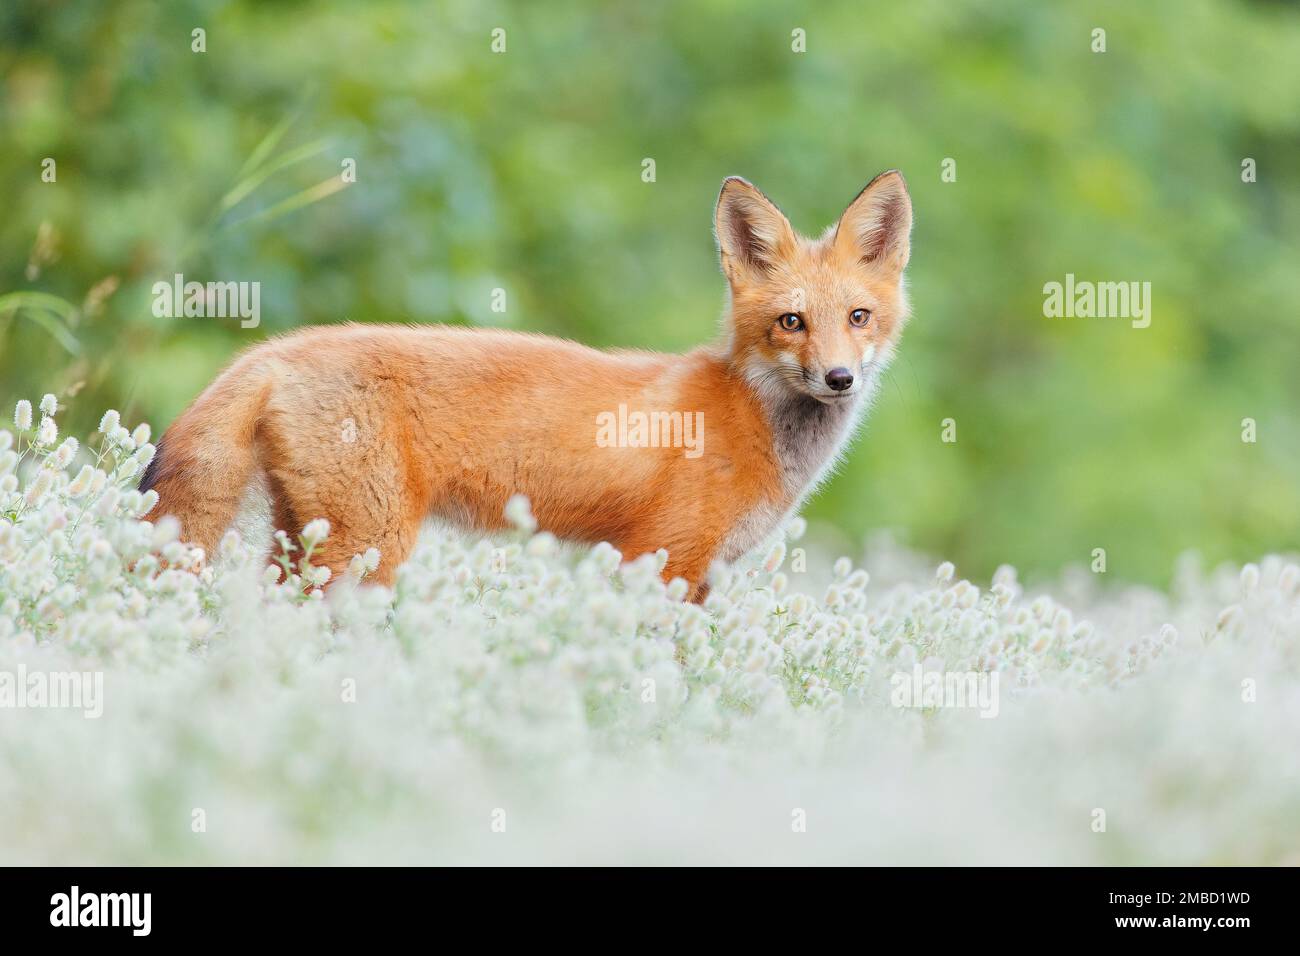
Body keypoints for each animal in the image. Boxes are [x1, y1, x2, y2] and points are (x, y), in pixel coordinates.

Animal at [140, 170, 913, 600]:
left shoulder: (704, 577)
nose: (839, 378)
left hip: (305, 540)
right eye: (791, 322)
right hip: (367, 549)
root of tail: (276, 350)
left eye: (858, 318)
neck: (751, 420)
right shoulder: (659, 556)